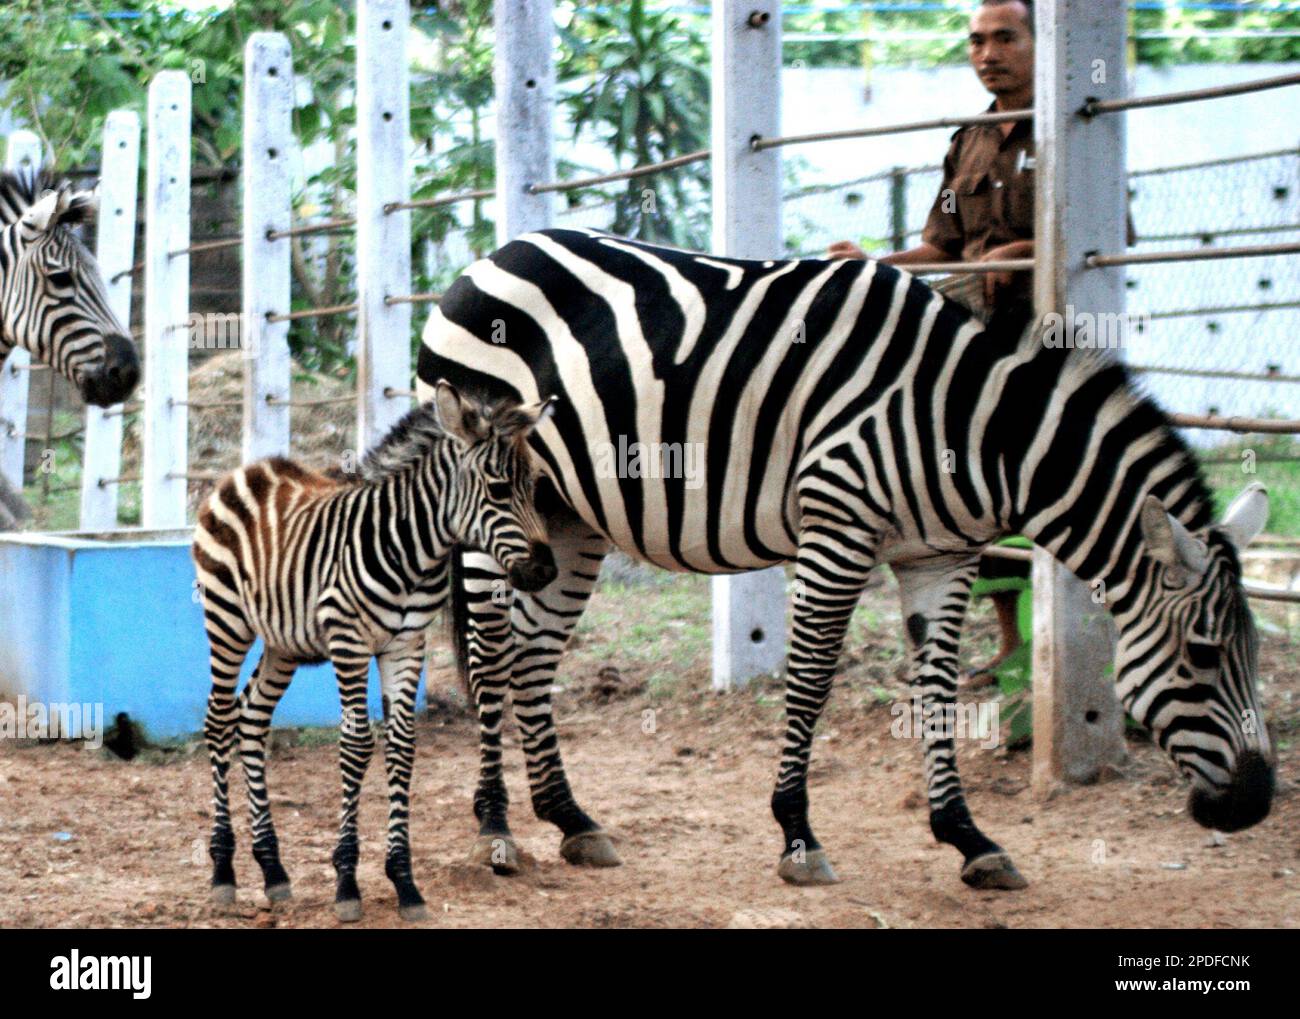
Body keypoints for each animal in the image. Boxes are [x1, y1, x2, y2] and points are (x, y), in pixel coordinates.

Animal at [191, 381, 558, 921]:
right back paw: (223, 872)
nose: (546, 573)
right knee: (218, 720)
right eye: (497, 490)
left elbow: (402, 745)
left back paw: (273, 868)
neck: (413, 550)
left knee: (251, 719)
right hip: (226, 619)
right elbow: (357, 744)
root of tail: (246, 470)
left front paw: (404, 881)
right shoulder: (349, 641)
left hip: (283, 643)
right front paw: (347, 882)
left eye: (535, 485)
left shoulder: (406, 644)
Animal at [415, 226, 1275, 890]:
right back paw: (495, 827)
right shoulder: (838, 527)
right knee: (491, 656)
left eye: (1253, 652)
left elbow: (938, 691)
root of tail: (497, 250)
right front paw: (798, 835)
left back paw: (570, 819)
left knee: (534, 656)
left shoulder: (941, 556)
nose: (1259, 802)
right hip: (491, 505)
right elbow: (811, 681)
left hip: (567, 517)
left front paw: (969, 837)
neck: (964, 426)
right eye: (1203, 654)